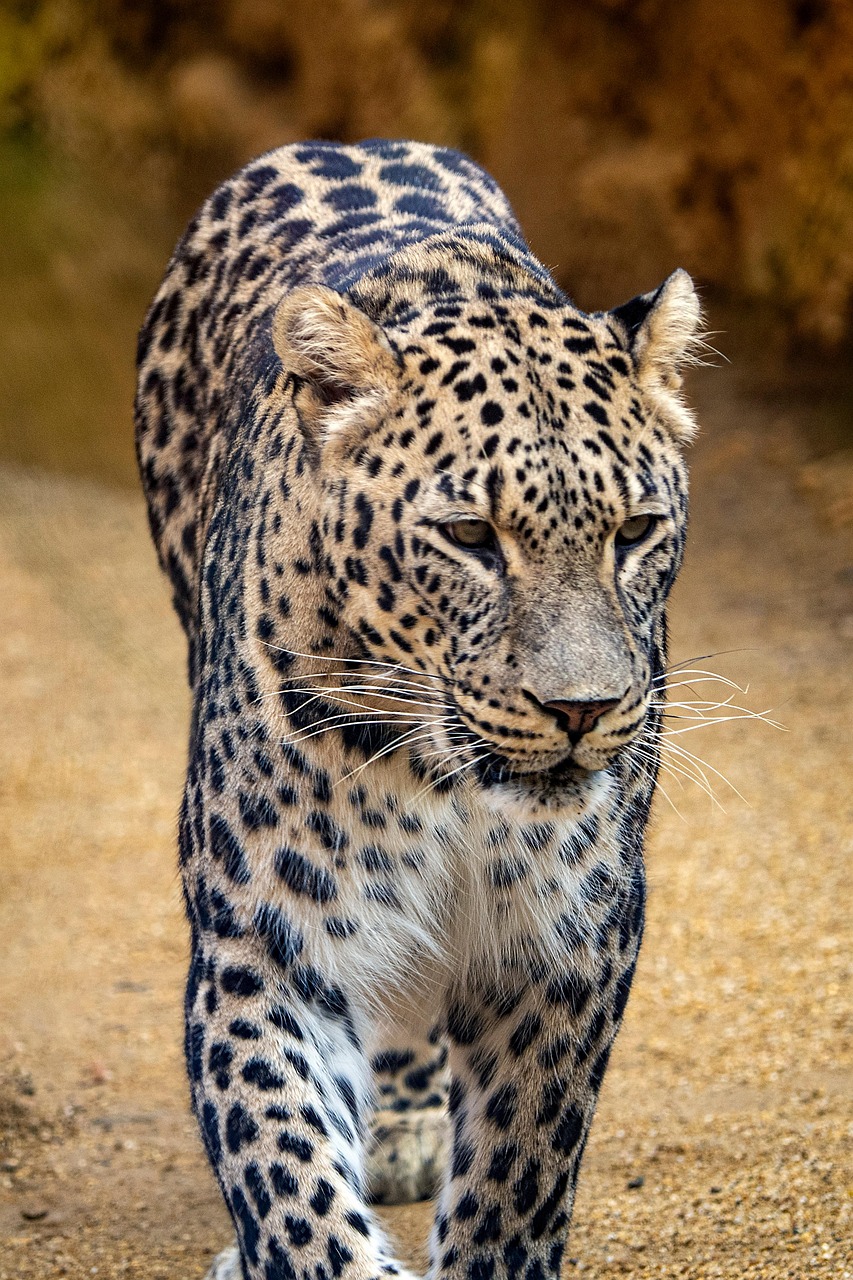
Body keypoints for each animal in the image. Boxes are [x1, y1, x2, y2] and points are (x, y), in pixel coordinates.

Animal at [135, 138, 701, 1280]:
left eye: (634, 530)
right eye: (470, 537)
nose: (582, 709)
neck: (449, 783)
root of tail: (343, 141)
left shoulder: (568, 939)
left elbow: (520, 1174)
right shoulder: (261, 938)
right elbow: (285, 1168)